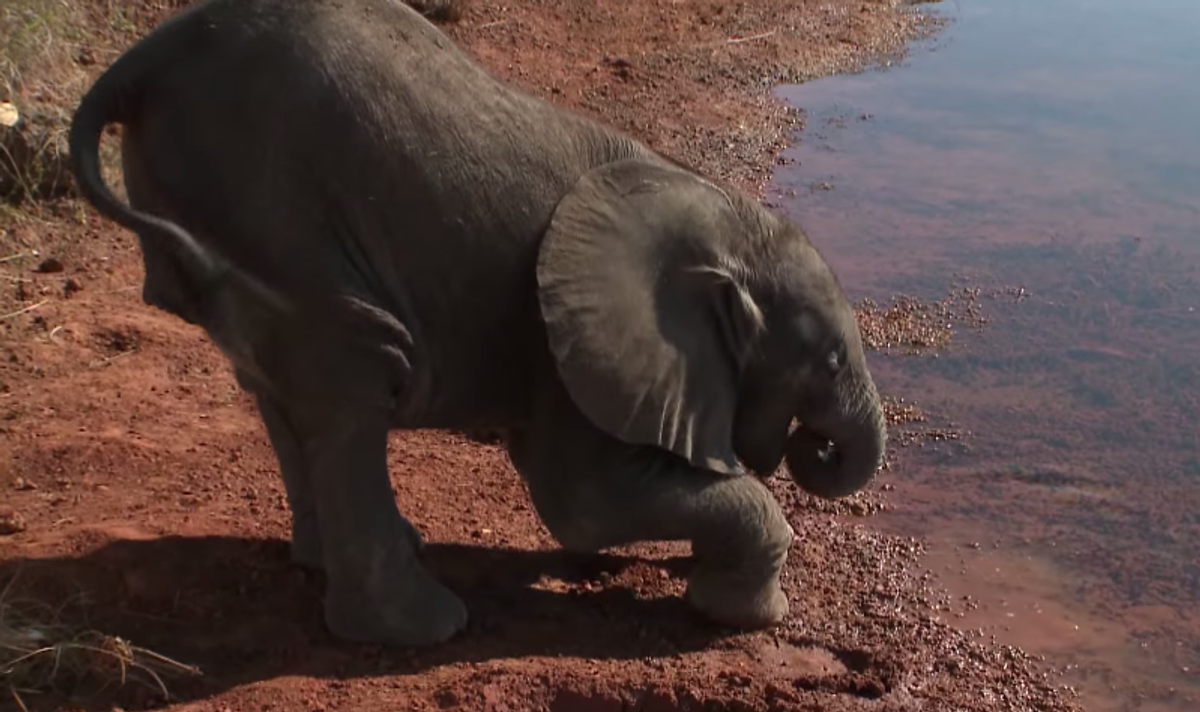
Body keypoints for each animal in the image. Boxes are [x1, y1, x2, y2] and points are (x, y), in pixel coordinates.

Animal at [67, 0, 887, 647]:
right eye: (830, 364)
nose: (814, 446)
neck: (712, 211)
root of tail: (141, 63)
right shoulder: (569, 348)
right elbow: (580, 501)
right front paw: (738, 615)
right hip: (273, 204)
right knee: (348, 377)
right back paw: (420, 629)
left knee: (278, 390)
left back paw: (331, 563)